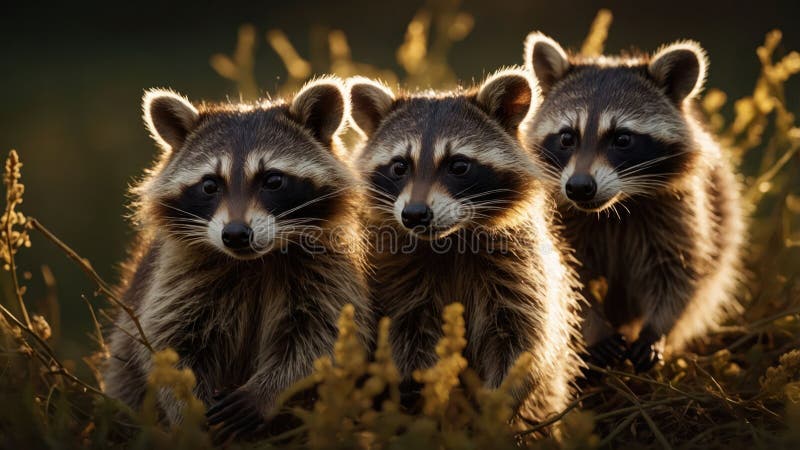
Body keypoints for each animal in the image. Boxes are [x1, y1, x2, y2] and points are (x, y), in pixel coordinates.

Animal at [103, 78, 373, 443]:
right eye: (209, 185)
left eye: (273, 180)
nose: (235, 234)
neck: (254, 261)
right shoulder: (177, 272)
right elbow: (168, 338)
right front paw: (188, 407)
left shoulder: (329, 264)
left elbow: (323, 332)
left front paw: (267, 392)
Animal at [347, 70, 583, 423]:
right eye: (400, 166)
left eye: (458, 165)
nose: (414, 214)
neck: (449, 240)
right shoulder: (397, 271)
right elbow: (406, 331)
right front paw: (419, 389)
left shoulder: (518, 263)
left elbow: (523, 334)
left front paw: (501, 398)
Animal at [522, 33, 745, 372]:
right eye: (567, 138)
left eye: (622, 139)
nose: (579, 188)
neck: (614, 207)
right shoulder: (560, 217)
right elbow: (567, 278)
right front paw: (594, 329)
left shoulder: (679, 207)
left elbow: (679, 271)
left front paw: (656, 329)